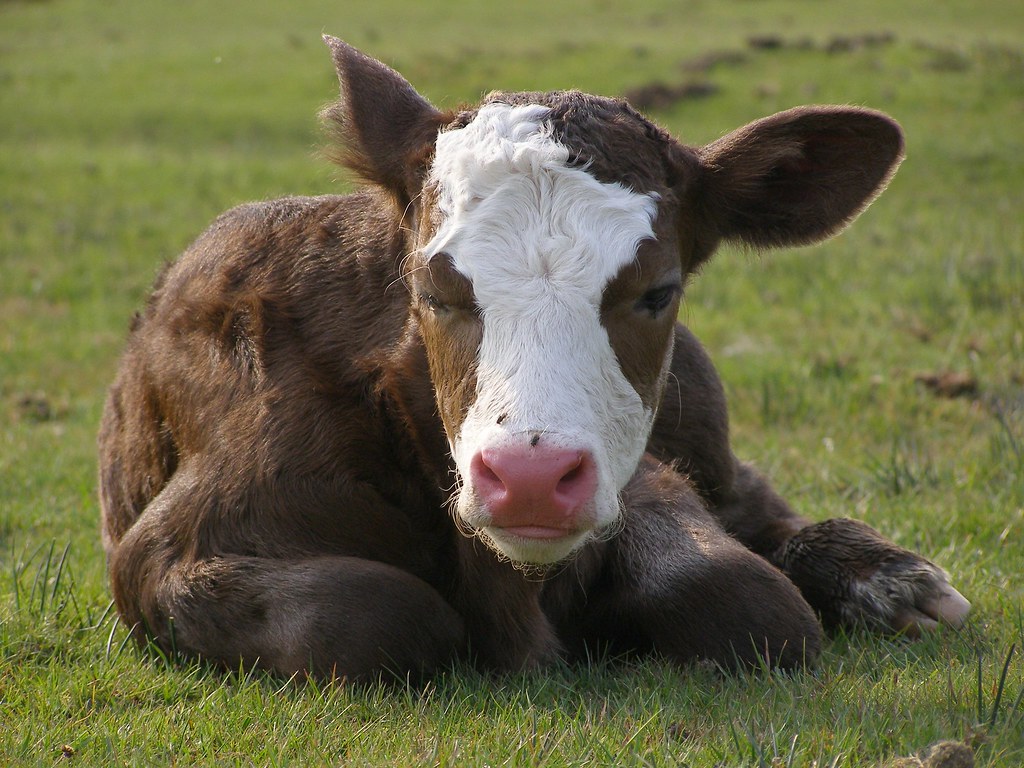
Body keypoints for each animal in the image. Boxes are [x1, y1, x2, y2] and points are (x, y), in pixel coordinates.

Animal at [98, 36, 970, 682]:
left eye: (658, 291)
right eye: (430, 287)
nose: (528, 478)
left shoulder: (645, 476)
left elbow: (742, 594)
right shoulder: (173, 547)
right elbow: (375, 614)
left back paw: (893, 578)